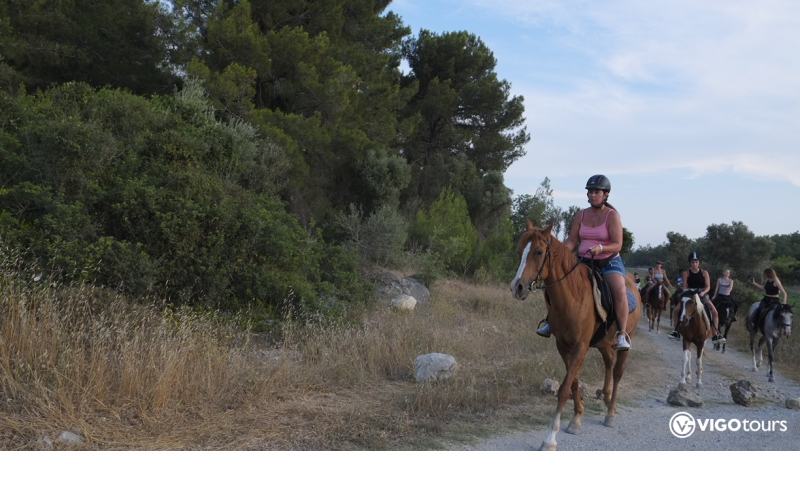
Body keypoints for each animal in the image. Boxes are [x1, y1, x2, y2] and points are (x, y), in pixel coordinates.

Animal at [509, 220, 641, 452]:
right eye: (520, 251)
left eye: (539, 251)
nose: (517, 287)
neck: (573, 297)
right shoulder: (563, 345)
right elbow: (573, 383)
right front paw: (576, 419)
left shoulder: (580, 345)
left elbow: (564, 388)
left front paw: (550, 438)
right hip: (603, 343)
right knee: (608, 362)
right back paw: (606, 397)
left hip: (623, 341)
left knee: (617, 372)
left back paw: (611, 412)